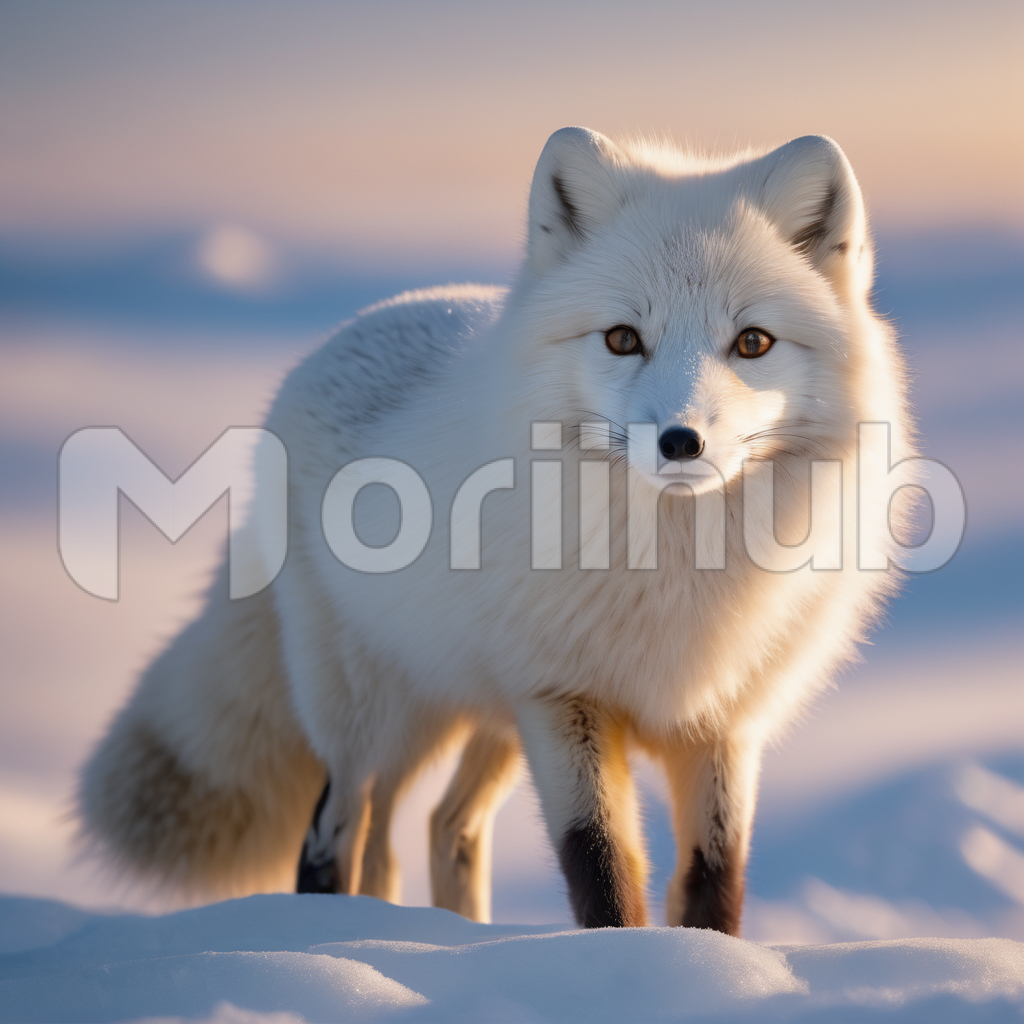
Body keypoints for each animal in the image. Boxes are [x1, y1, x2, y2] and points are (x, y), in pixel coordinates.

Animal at [79, 127, 913, 933]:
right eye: (622, 338)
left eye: (752, 343)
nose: (681, 442)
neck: (676, 575)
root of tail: (355, 327)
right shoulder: (560, 699)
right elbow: (601, 869)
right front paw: (625, 961)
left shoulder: (721, 726)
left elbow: (715, 886)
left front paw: (706, 962)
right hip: (371, 712)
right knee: (333, 835)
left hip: (475, 720)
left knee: (436, 828)